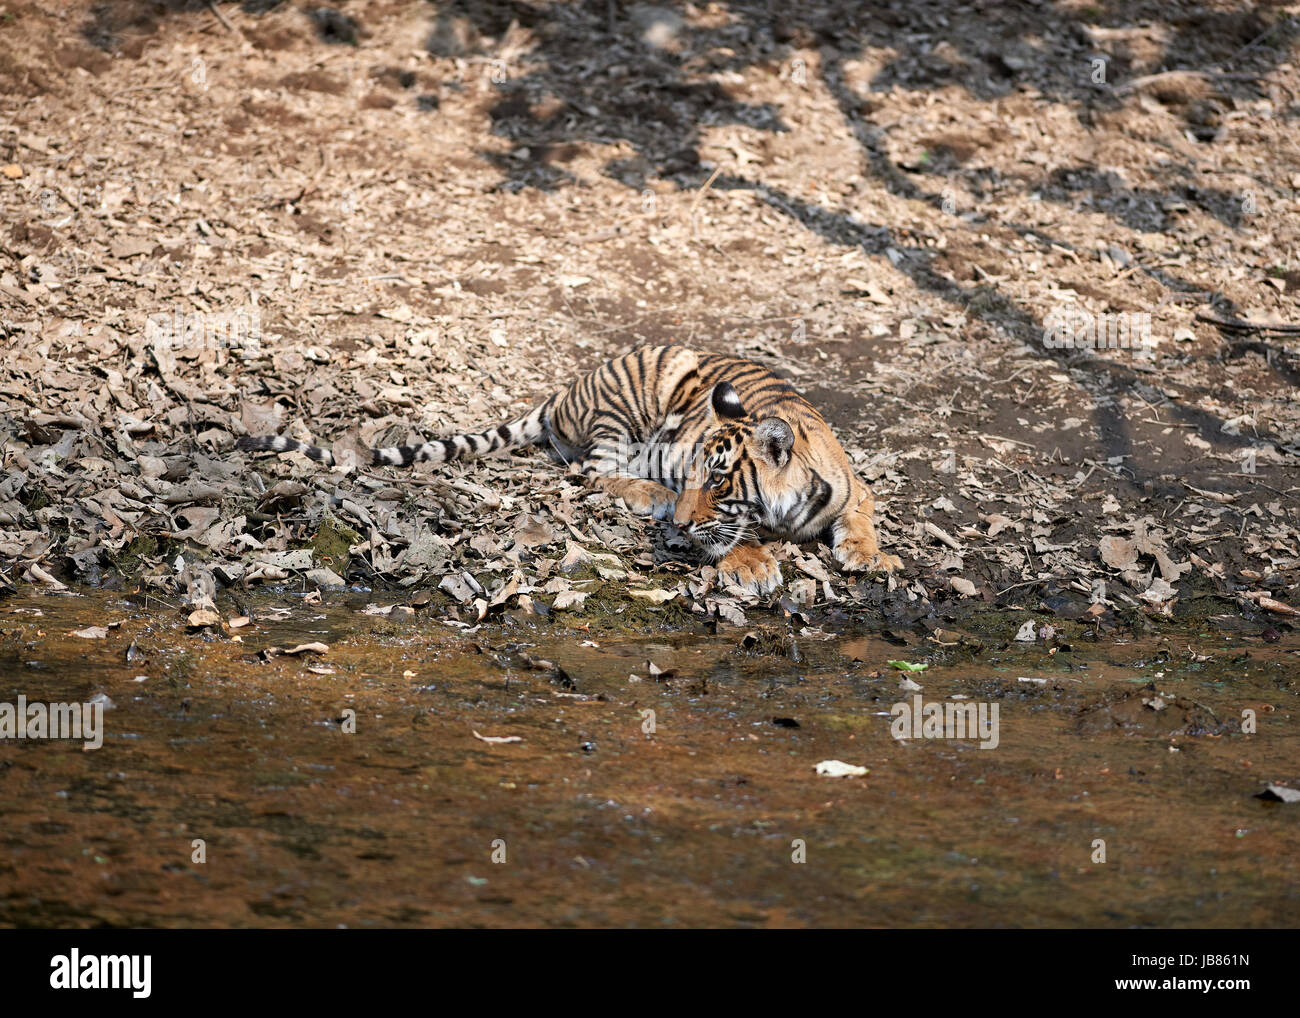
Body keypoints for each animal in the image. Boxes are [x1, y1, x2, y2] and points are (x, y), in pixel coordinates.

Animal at [236, 345, 903, 594]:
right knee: (591, 472)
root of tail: (566, 388)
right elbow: (728, 539)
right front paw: (753, 565)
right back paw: (647, 493)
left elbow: (862, 515)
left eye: (717, 480)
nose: (680, 522)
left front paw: (870, 555)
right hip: (634, 402)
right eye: (693, 475)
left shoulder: (853, 486)